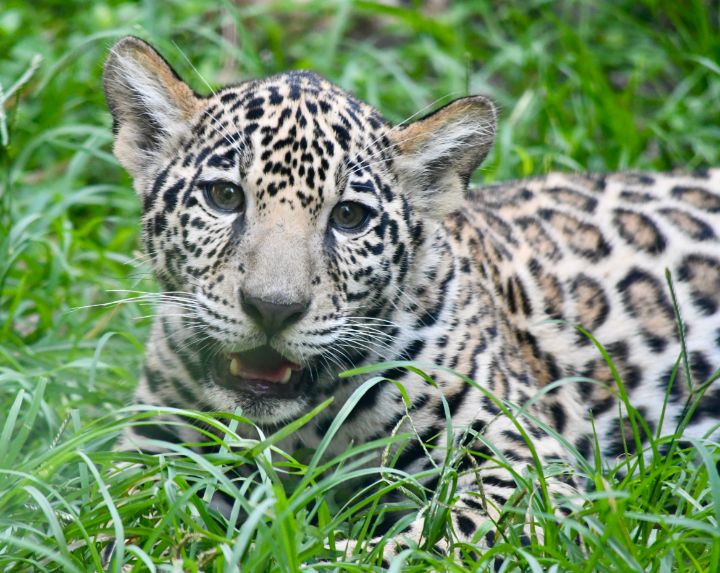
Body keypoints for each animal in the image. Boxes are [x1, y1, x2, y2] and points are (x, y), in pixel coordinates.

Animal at [103, 36, 720, 562]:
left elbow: (440, 538)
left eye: (349, 217)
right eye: (224, 196)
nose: (272, 308)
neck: (291, 432)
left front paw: (304, 551)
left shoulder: (523, 459)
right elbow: (128, 512)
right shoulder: (151, 454)